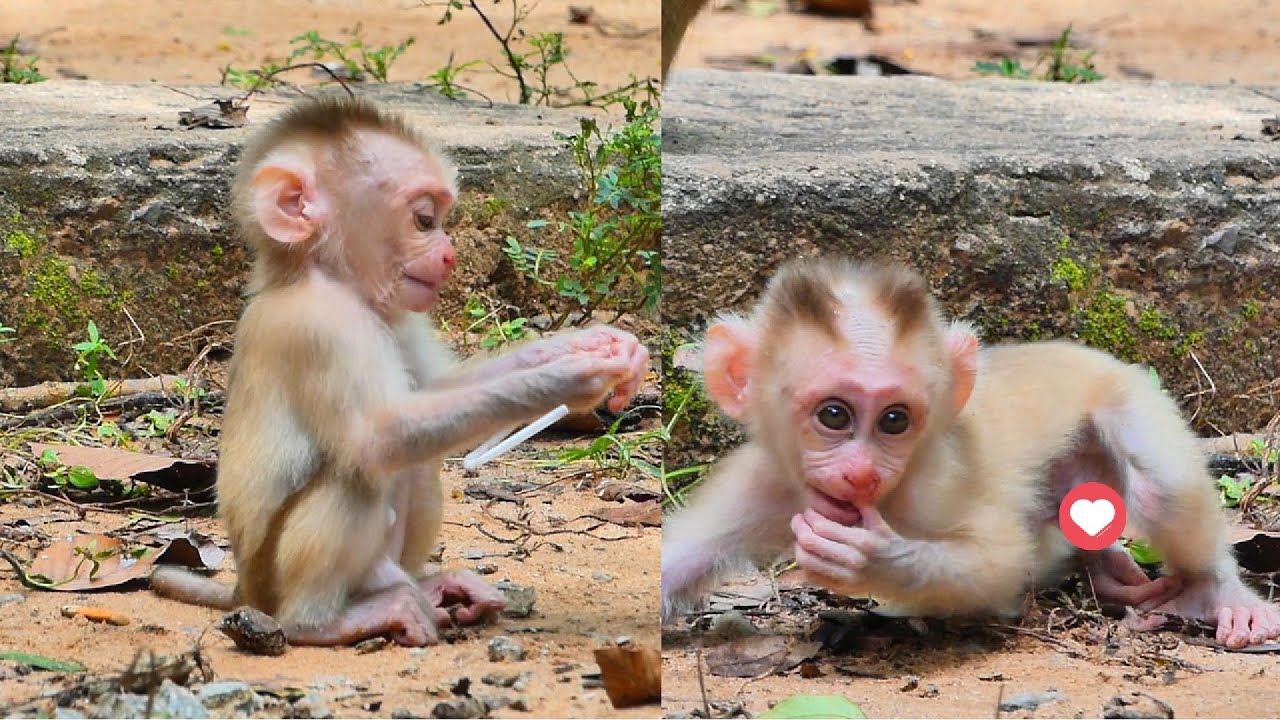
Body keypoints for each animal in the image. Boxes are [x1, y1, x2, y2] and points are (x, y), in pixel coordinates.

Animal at [151, 96, 650, 648]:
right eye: (424, 220)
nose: (449, 255)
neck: (324, 277)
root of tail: (243, 589)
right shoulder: (319, 327)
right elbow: (378, 438)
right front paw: (574, 376)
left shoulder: (400, 313)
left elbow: (438, 392)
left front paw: (593, 345)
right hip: (272, 583)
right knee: (359, 473)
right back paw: (319, 623)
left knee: (415, 465)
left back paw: (423, 587)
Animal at [661, 257, 1280, 649]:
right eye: (833, 415)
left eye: (895, 420)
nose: (861, 474)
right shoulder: (761, 480)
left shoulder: (939, 477)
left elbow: (1004, 559)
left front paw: (873, 559)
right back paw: (1104, 571)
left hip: (1130, 392)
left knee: (1163, 485)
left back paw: (1213, 592)